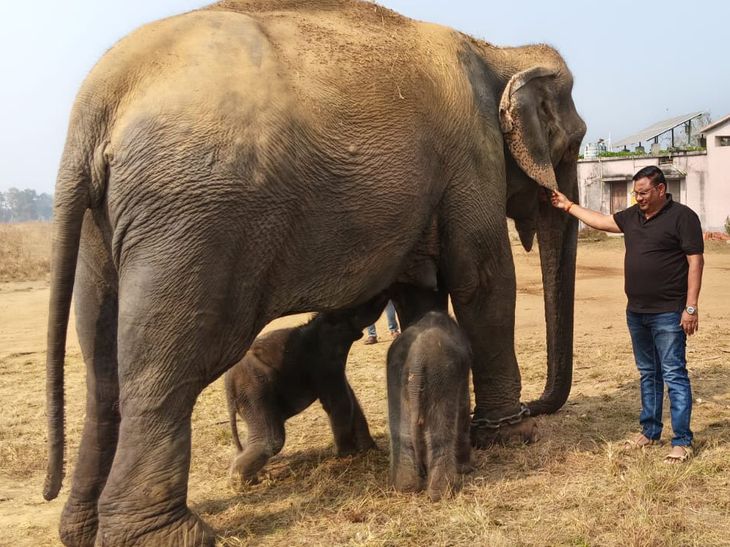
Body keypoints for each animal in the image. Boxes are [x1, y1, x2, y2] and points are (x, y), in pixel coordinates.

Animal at [225, 298, 386, 490]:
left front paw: (369, 449)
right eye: (354, 309)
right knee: (273, 439)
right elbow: (339, 402)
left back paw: (255, 477)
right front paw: (347, 455)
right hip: (255, 390)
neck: (320, 322)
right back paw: (243, 482)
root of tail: (228, 385)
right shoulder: (324, 363)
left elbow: (351, 398)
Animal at [387, 311, 472, 501]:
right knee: (440, 434)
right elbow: (464, 408)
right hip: (440, 377)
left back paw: (406, 489)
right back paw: (442, 494)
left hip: (396, 378)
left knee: (402, 435)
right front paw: (466, 469)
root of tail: (416, 360)